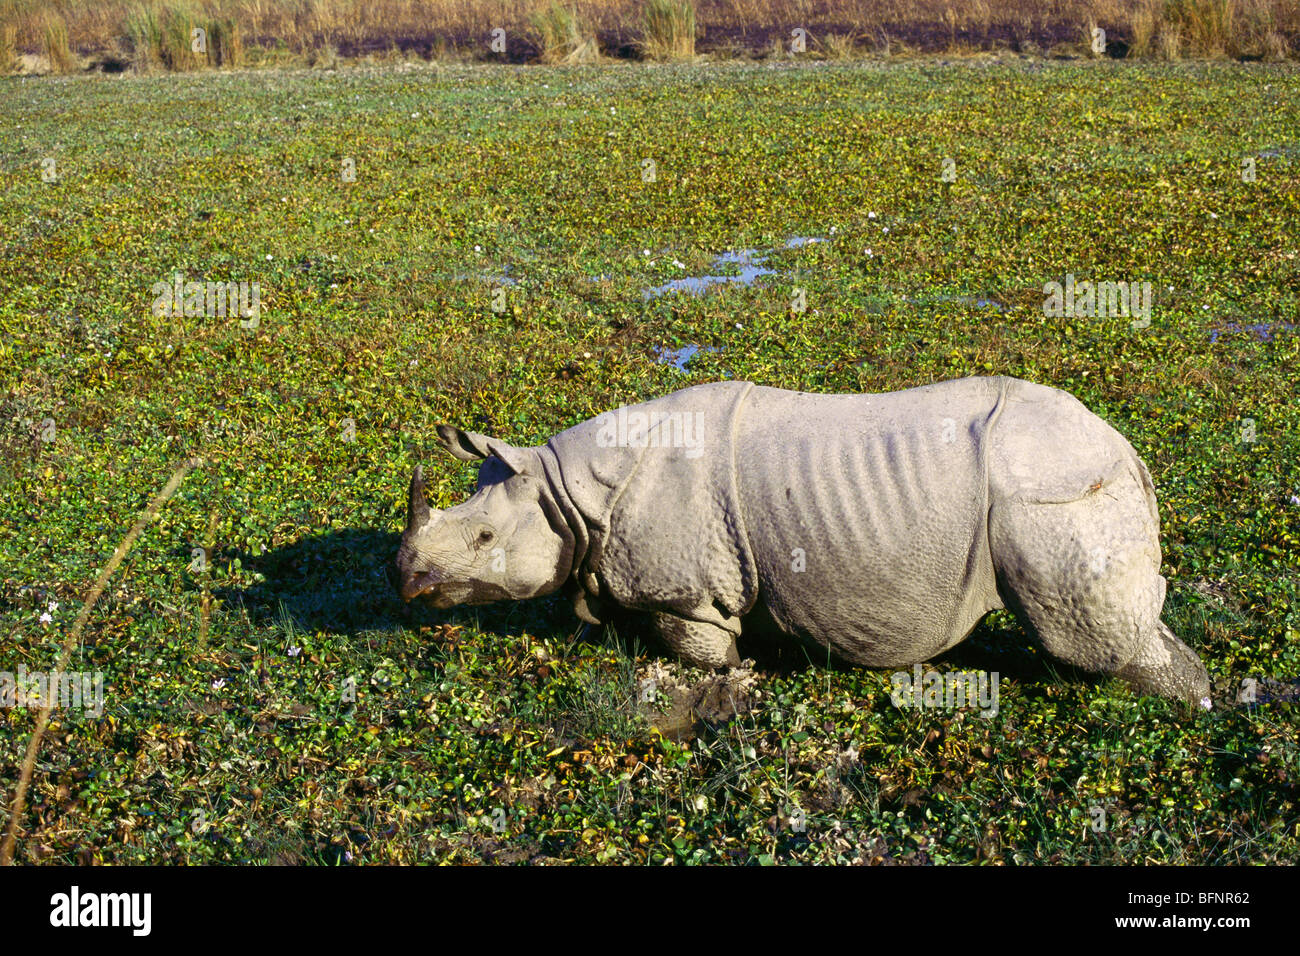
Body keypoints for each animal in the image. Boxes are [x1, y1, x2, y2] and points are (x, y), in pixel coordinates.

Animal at [392, 376, 1211, 706]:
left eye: (484, 536)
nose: (406, 584)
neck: (566, 492)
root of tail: (1127, 451)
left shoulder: (691, 594)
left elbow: (702, 654)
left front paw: (728, 689)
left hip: (1052, 497)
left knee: (1090, 640)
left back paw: (1185, 709)